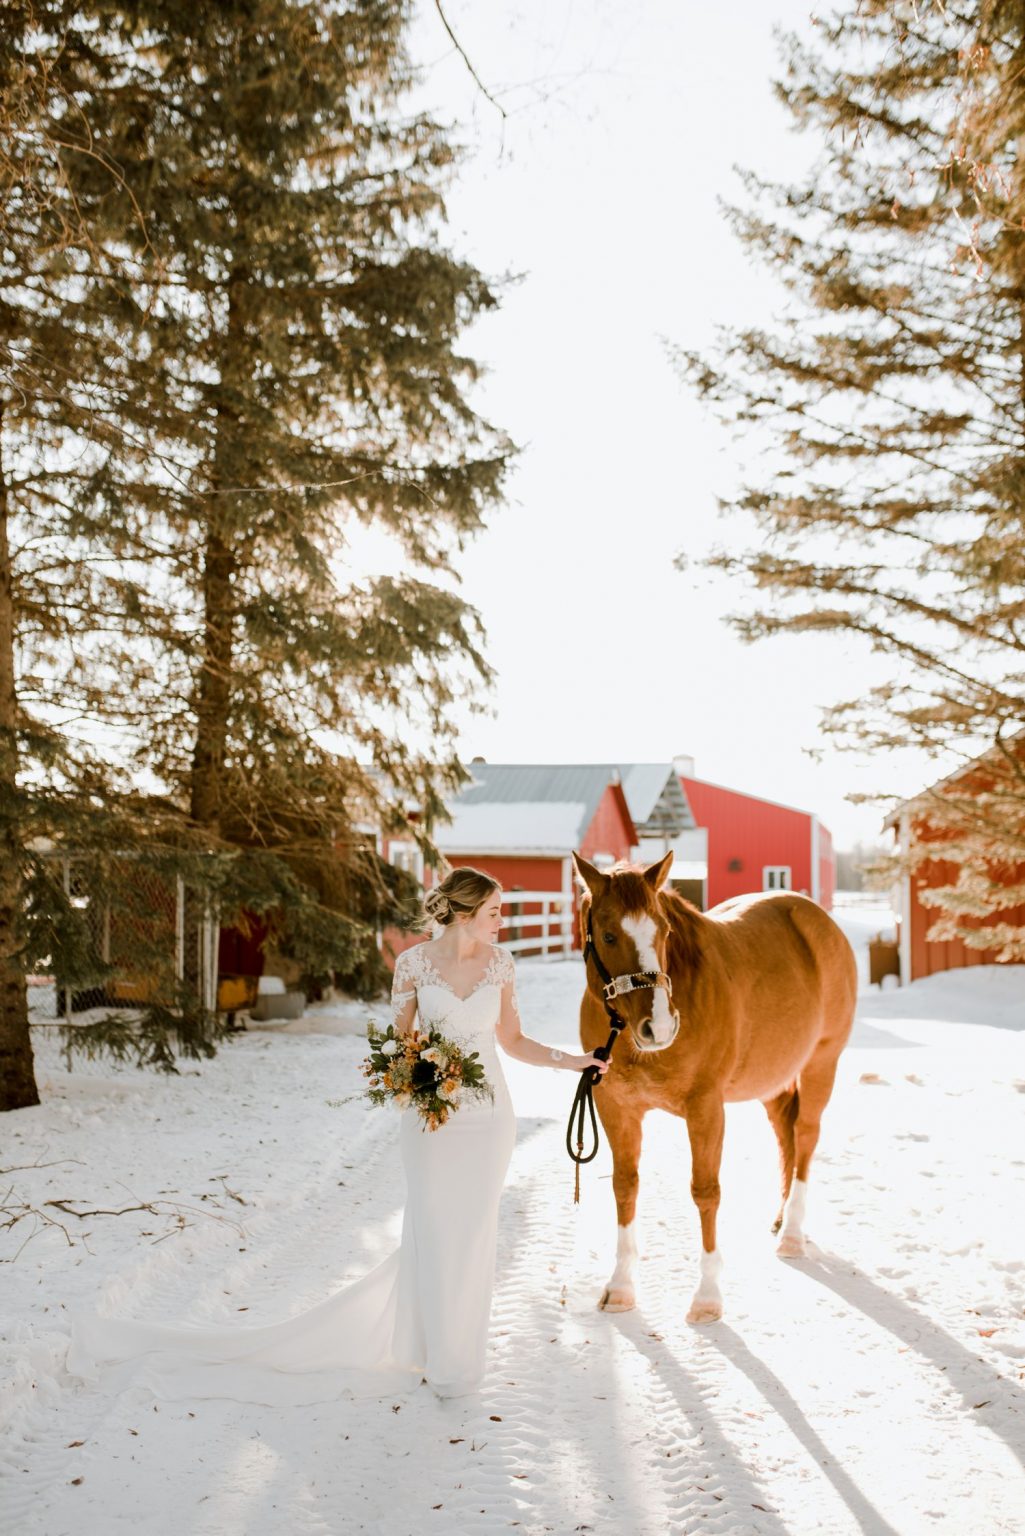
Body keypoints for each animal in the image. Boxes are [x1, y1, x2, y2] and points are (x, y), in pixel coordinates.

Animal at [573, 850, 857, 1323]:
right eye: (609, 935)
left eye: (665, 930)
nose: (660, 1027)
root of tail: (819, 920)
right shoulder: (616, 1107)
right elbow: (625, 1186)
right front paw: (621, 1287)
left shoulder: (705, 1108)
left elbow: (705, 1192)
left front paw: (707, 1297)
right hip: (772, 1078)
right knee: (786, 1132)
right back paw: (781, 1219)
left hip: (822, 1062)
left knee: (805, 1135)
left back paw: (792, 1234)